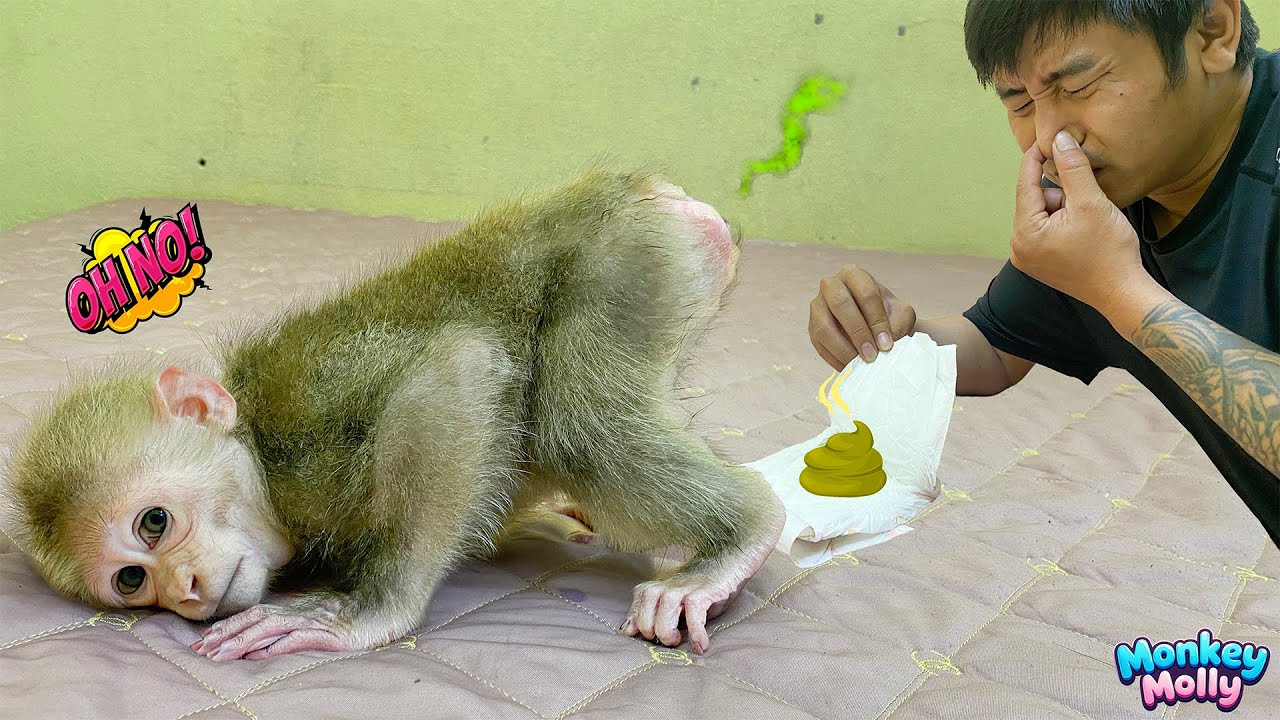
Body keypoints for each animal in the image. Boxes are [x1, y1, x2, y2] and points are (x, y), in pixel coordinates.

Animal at [2, 167, 785, 661]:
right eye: (133, 583)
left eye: (155, 523)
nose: (187, 591)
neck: (261, 460)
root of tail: (656, 195)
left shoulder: (307, 417)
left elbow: (459, 370)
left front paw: (372, 616)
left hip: (632, 256)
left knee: (577, 420)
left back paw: (745, 530)